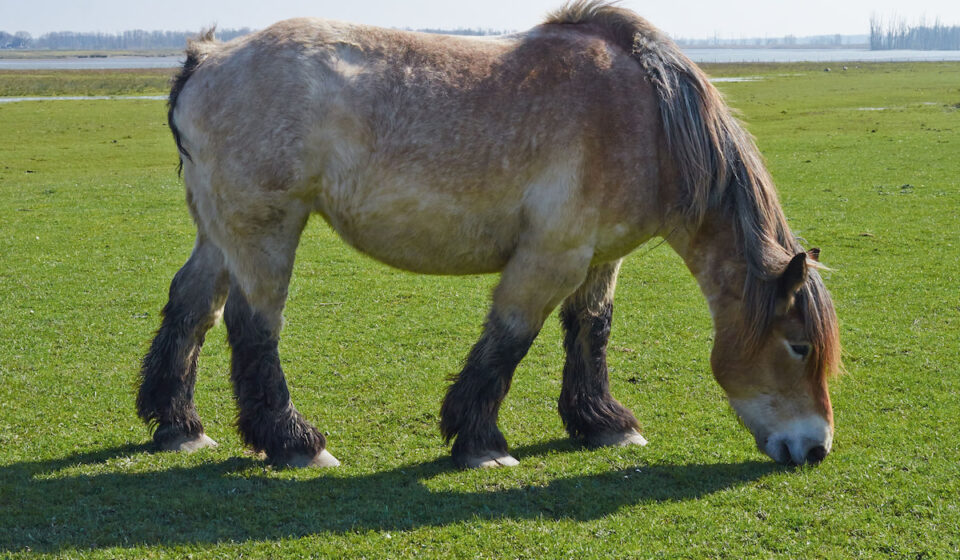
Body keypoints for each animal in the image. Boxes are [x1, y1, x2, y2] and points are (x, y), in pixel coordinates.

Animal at [136, 0, 841, 469]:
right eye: (799, 345)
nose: (815, 448)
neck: (647, 120)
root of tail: (207, 58)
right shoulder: (551, 258)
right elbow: (510, 339)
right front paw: (479, 443)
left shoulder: (599, 259)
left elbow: (591, 332)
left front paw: (601, 424)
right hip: (266, 230)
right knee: (252, 325)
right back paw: (292, 442)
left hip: (220, 234)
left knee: (191, 309)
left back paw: (178, 427)